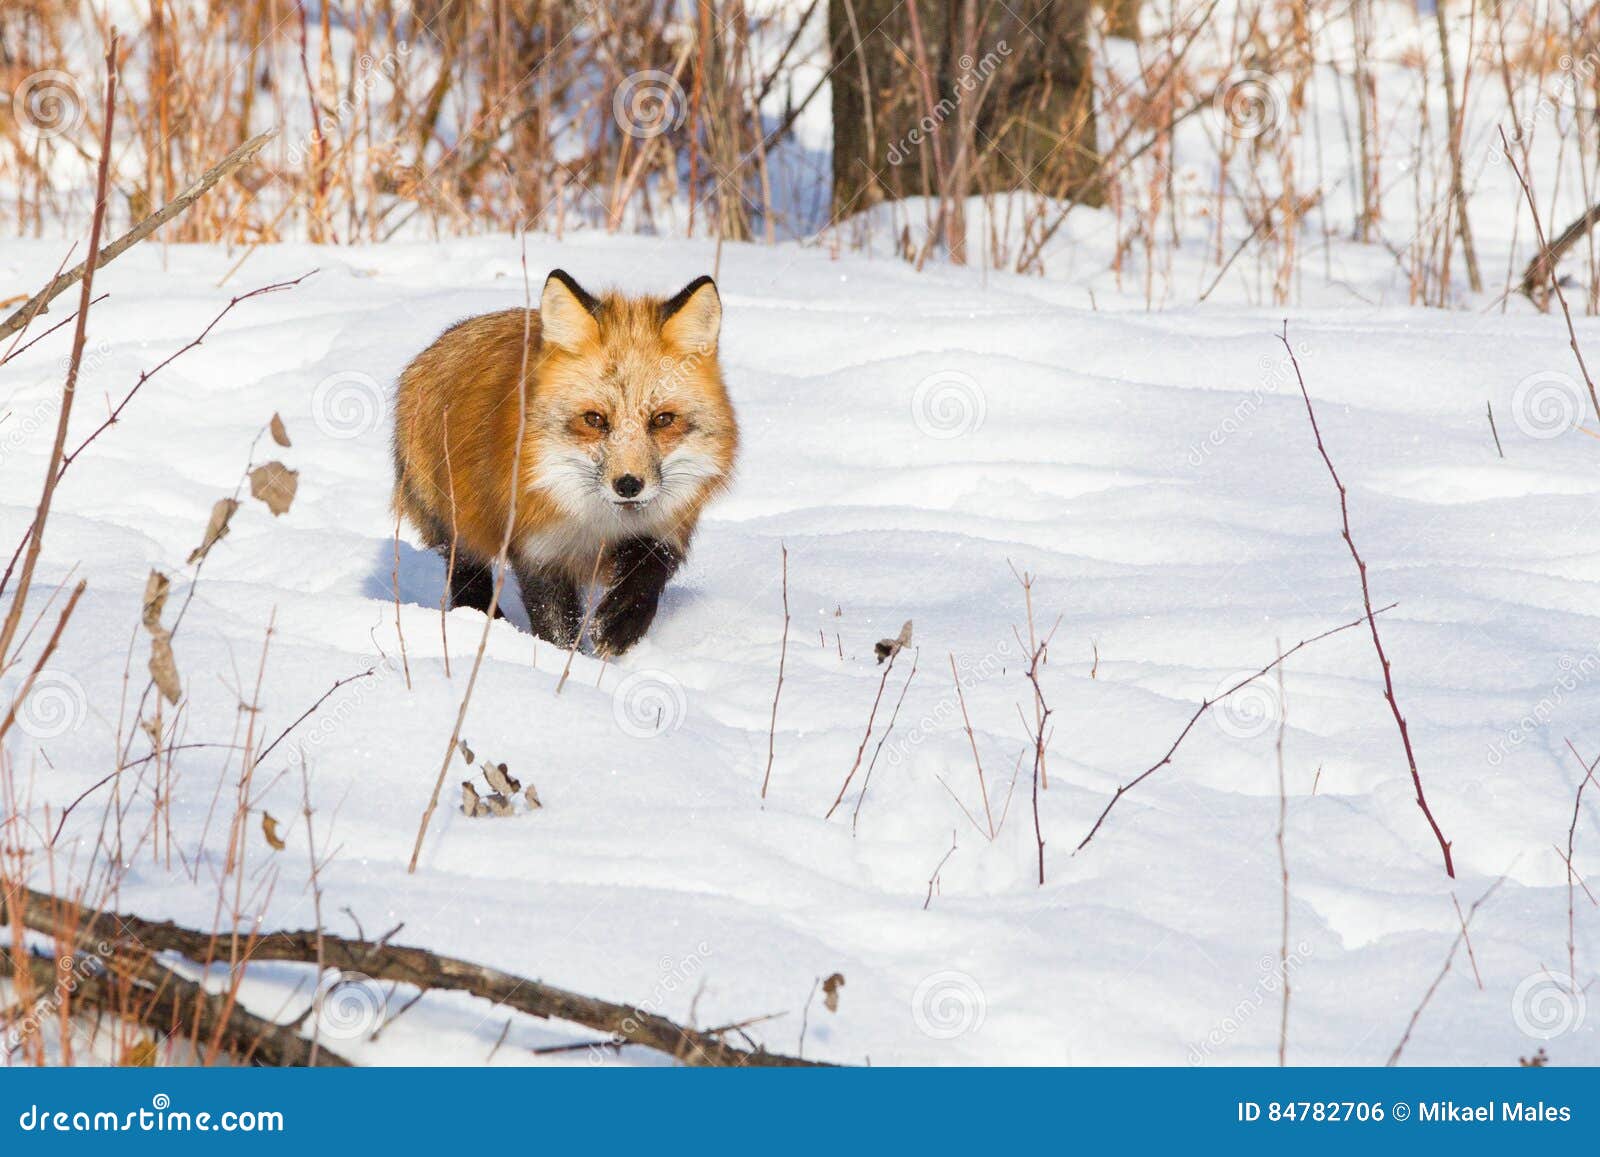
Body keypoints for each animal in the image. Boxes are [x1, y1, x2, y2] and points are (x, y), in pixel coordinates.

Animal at [392, 269, 737, 656]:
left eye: (662, 420)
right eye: (594, 419)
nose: (628, 485)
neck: (598, 522)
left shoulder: (665, 527)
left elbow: (646, 573)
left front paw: (619, 624)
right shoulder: (540, 546)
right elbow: (556, 625)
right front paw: (565, 662)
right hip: (454, 517)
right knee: (466, 570)